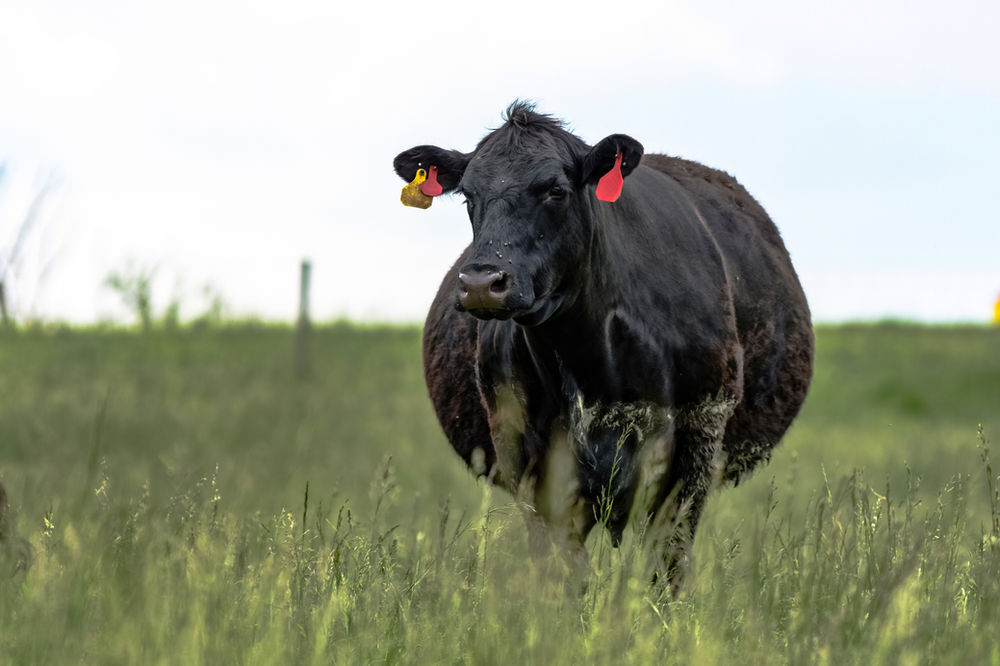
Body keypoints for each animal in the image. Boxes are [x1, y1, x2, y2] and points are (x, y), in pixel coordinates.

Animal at [393, 102, 813, 595]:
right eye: (467, 196)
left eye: (555, 190)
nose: (481, 282)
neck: (591, 359)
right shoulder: (523, 451)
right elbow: (561, 570)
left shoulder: (698, 436)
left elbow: (666, 565)